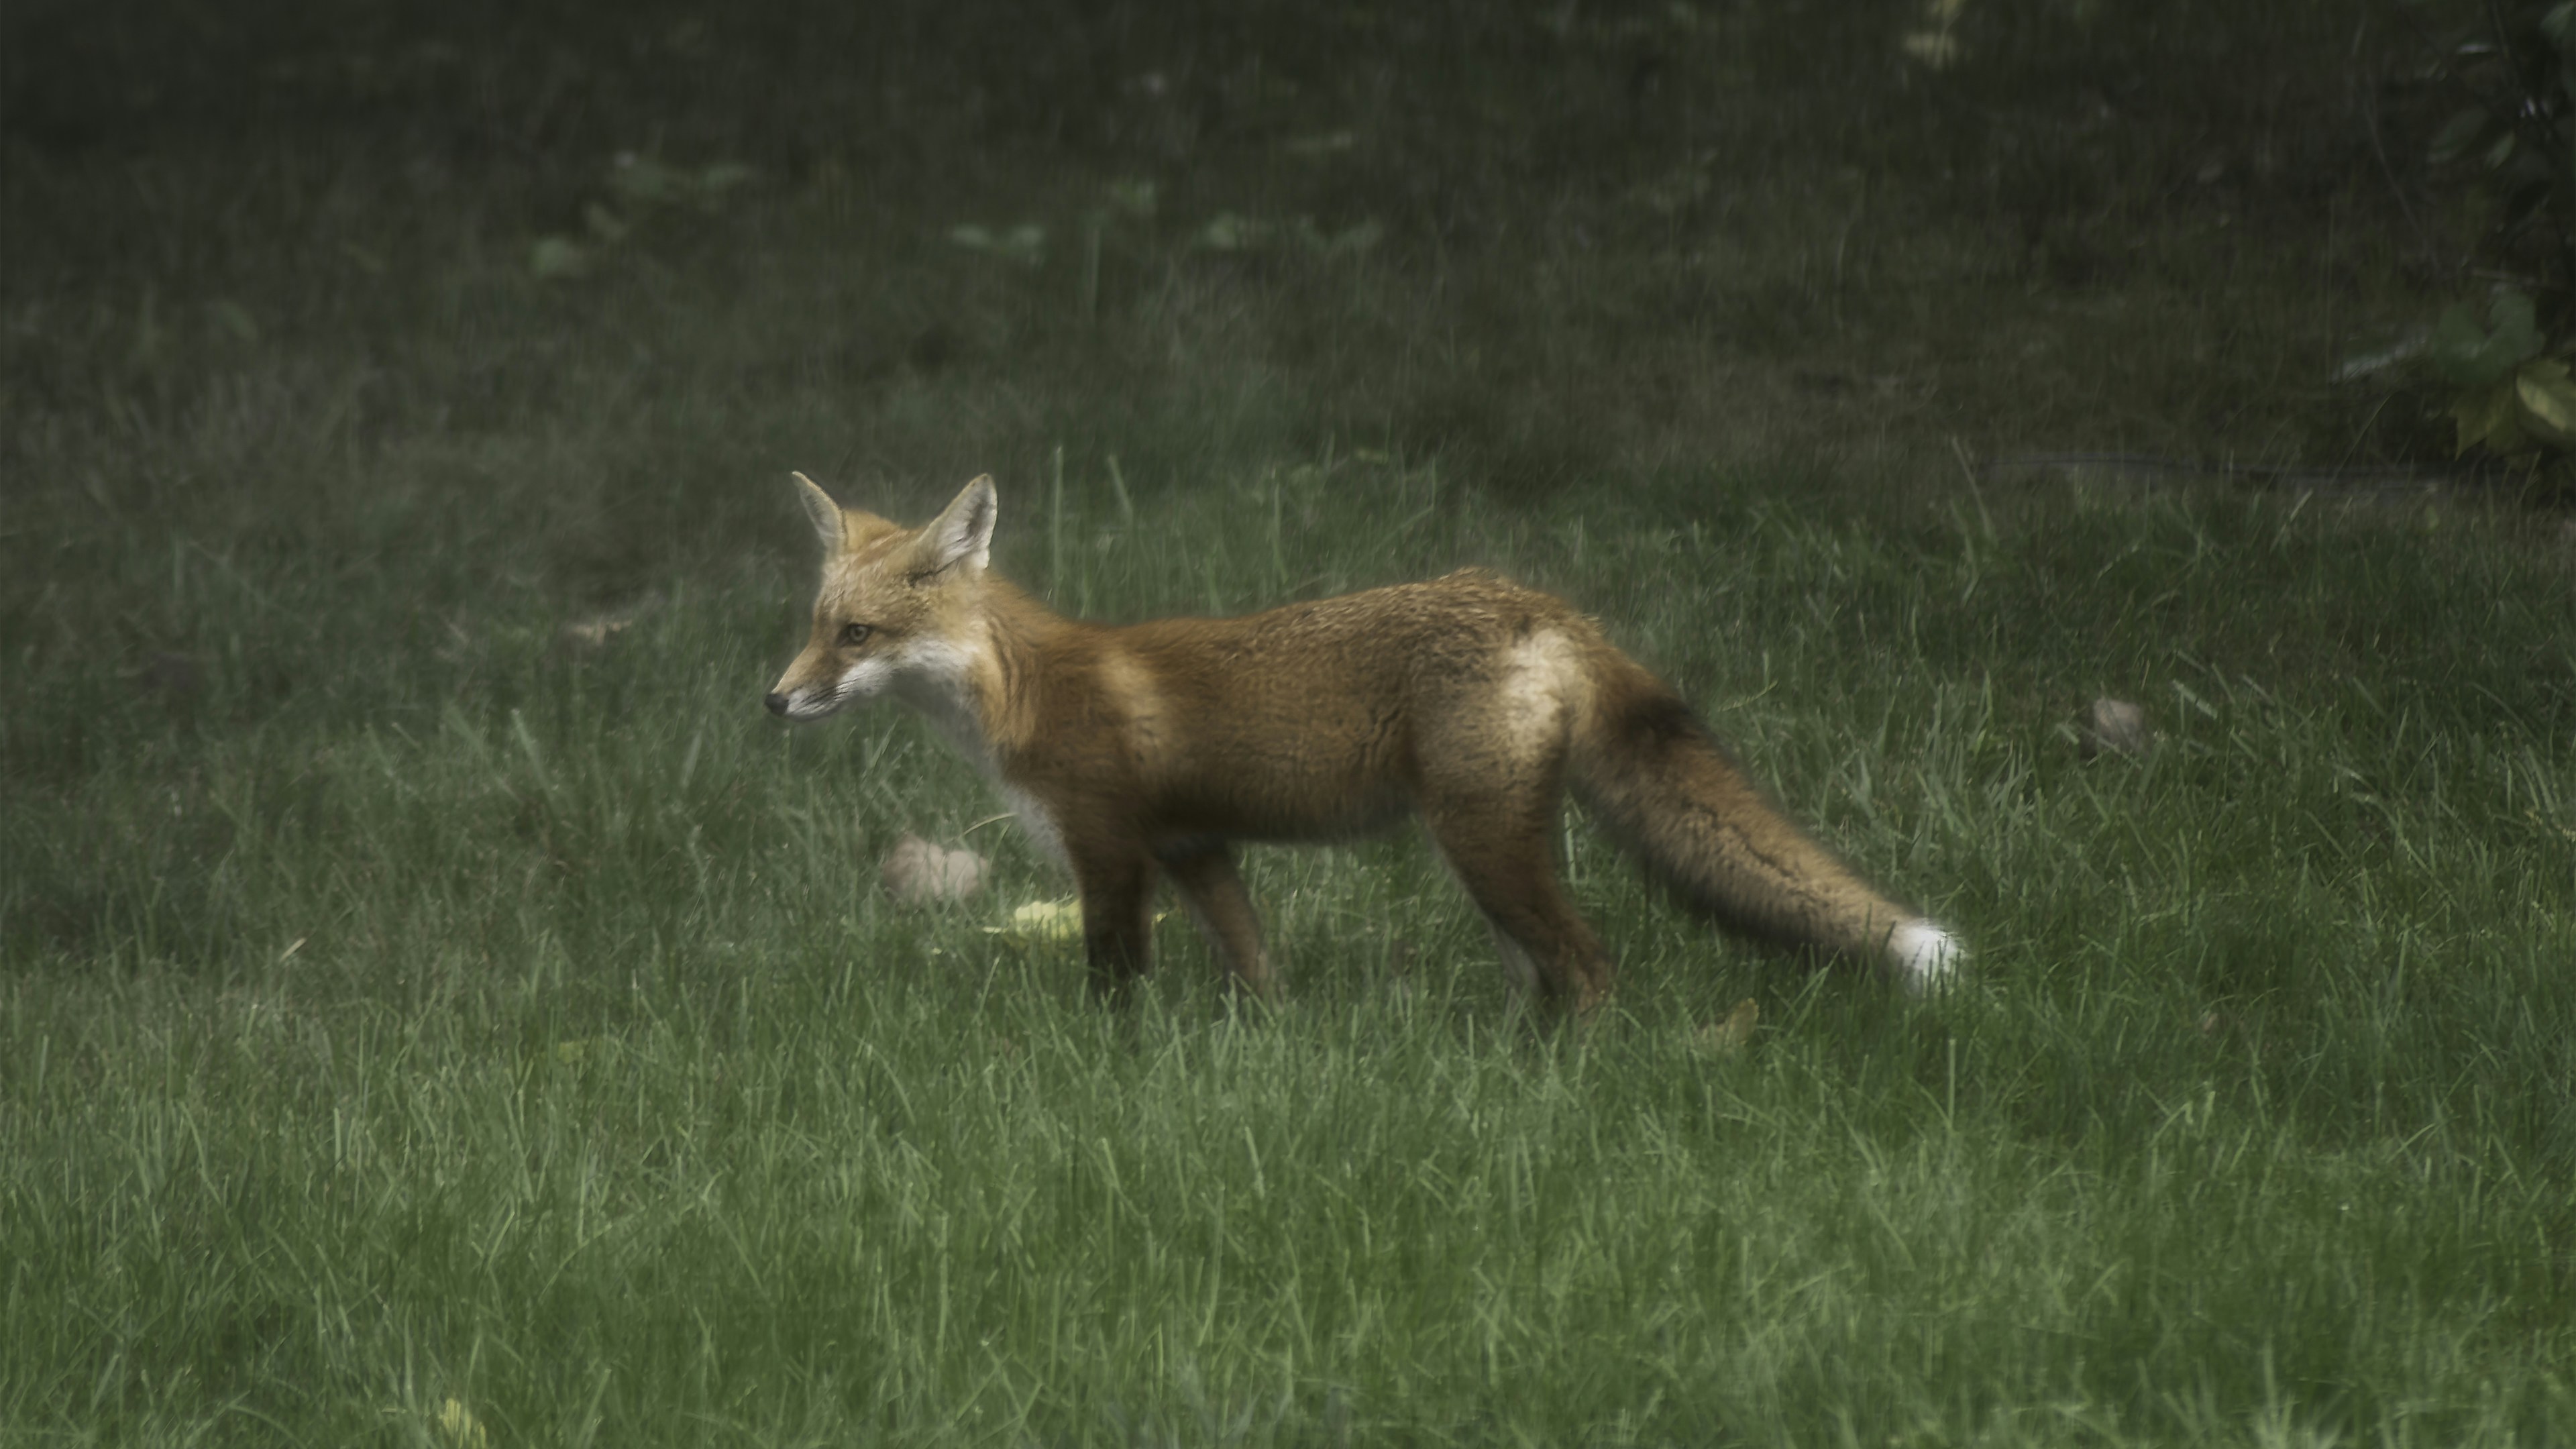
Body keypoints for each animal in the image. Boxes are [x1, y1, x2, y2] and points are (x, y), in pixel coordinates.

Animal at [766, 472, 1962, 1012]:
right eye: (813, 626)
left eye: (856, 635)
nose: (773, 702)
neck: (1022, 692)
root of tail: (1530, 600)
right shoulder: (1198, 849)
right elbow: (1258, 973)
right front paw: (1265, 1048)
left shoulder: (1109, 852)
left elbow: (1113, 986)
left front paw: (1106, 1068)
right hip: (1481, 852)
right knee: (1543, 973)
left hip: (1483, 843)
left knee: (1589, 969)